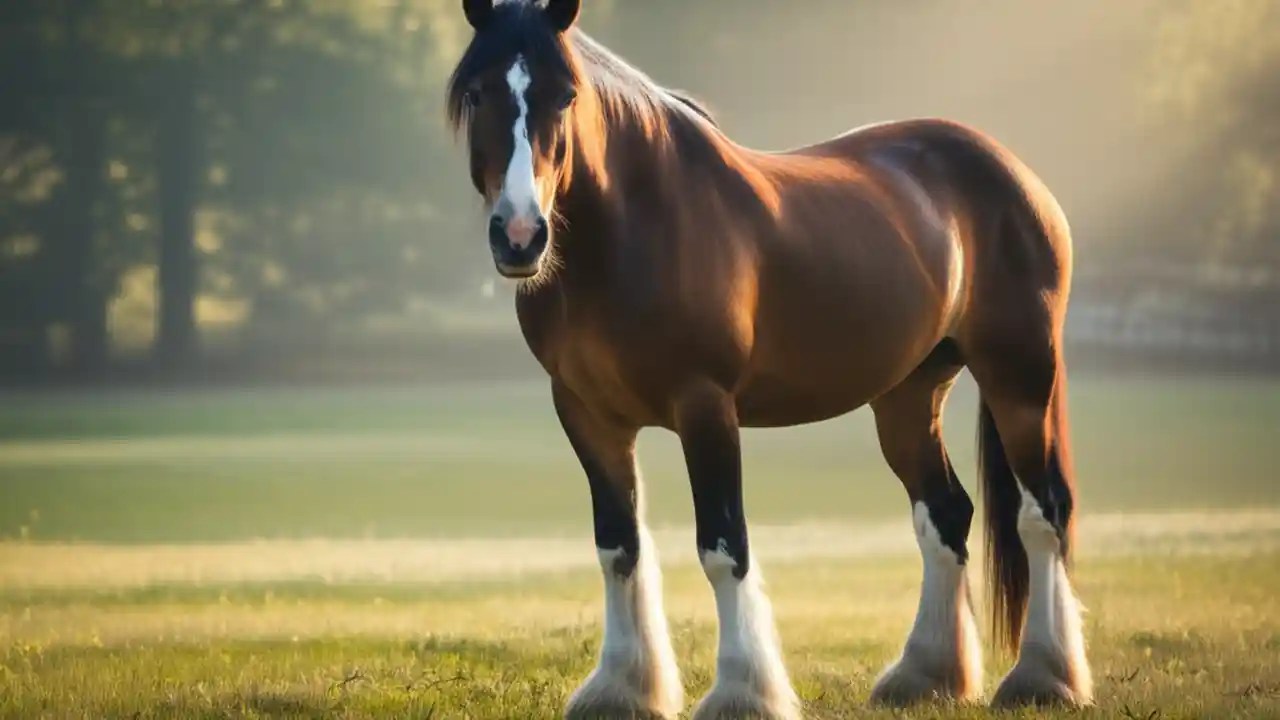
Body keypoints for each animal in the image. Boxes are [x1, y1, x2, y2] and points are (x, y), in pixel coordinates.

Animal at [446, 1, 1093, 717]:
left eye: (565, 95)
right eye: (477, 93)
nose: (520, 236)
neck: (631, 231)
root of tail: (1014, 174)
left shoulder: (705, 406)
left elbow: (724, 547)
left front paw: (743, 692)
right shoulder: (587, 413)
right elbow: (618, 546)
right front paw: (622, 688)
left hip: (1020, 376)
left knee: (1044, 513)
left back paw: (1044, 677)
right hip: (908, 396)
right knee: (945, 515)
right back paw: (926, 675)